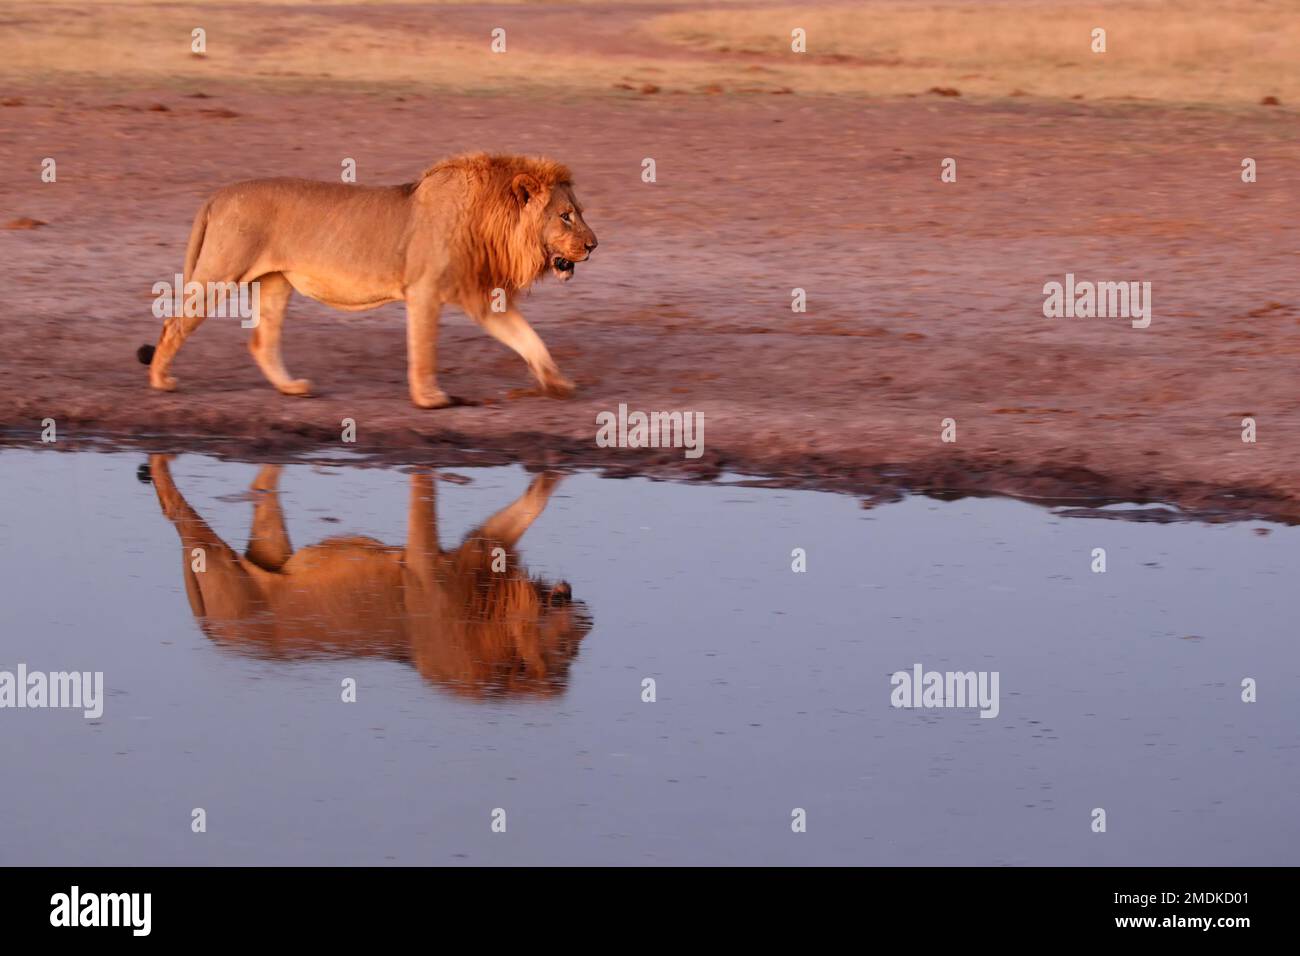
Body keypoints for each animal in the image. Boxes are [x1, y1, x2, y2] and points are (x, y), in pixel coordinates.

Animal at [136, 153, 598, 408]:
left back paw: (292, 389)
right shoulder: (424, 290)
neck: (489, 222)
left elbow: (529, 339)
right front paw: (430, 400)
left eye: (577, 212)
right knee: (174, 323)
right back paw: (160, 381)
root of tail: (217, 195)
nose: (594, 245)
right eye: (565, 216)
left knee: (261, 341)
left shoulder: (481, 297)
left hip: (275, 282)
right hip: (221, 271)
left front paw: (559, 383)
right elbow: (423, 350)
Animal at [141, 455, 591, 698]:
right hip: (220, 564)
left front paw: (555, 470)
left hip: (265, 548)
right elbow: (423, 497)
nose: (586, 615)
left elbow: (532, 504)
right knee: (173, 510)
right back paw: (157, 465)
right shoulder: (425, 564)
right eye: (566, 650)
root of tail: (210, 631)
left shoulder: (482, 548)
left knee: (259, 489)